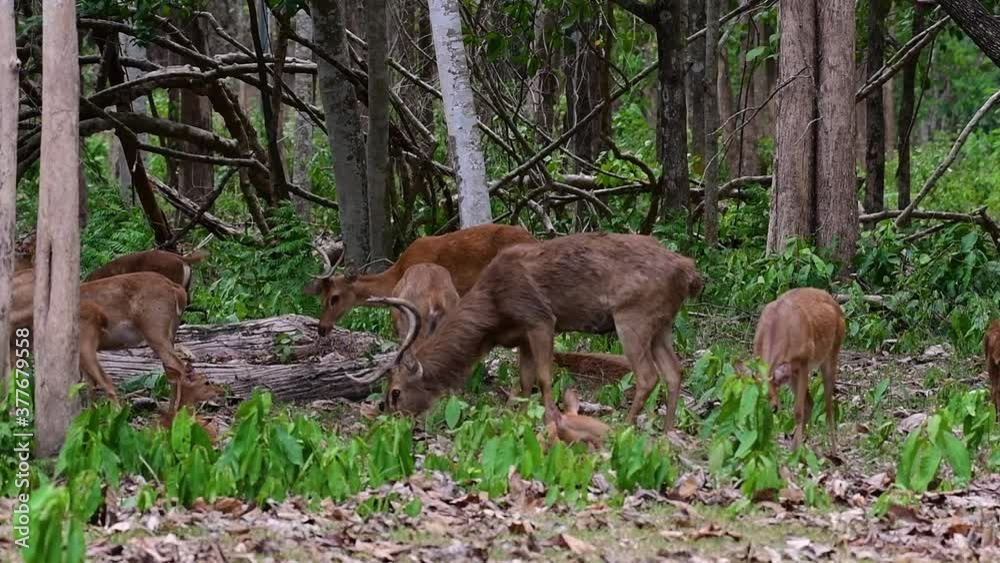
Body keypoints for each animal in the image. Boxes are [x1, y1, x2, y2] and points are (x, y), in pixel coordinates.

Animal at [353, 232, 702, 433]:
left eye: (396, 392)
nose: (392, 424)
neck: (493, 314)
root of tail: (688, 270)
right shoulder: (521, 336)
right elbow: (524, 380)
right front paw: (519, 418)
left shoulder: (540, 319)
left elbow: (545, 378)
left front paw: (552, 421)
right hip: (662, 322)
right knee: (675, 370)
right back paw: (668, 431)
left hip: (634, 314)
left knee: (647, 375)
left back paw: (625, 428)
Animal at [753, 287, 845, 452]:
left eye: (774, 407)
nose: (770, 411)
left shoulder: (804, 362)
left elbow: (797, 411)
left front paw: (794, 451)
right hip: (792, 373)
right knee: (811, 402)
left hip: (832, 352)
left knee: (828, 407)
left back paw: (834, 452)